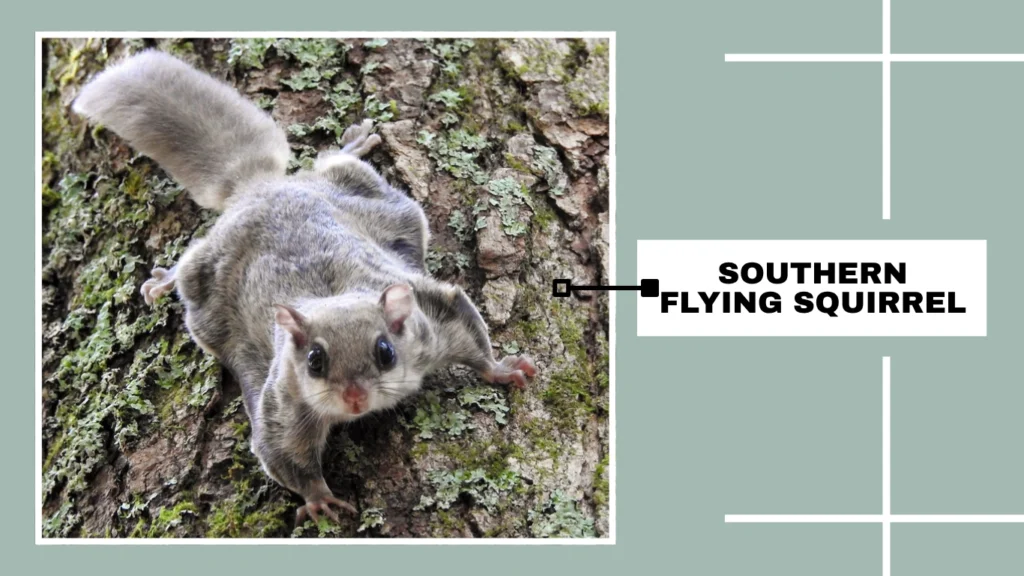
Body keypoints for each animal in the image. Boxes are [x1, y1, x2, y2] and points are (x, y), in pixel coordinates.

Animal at [72, 49, 538, 525]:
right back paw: (164, 281)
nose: (354, 398)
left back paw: (353, 143)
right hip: (204, 273)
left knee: (332, 163)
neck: (333, 297)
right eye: (314, 361)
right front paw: (319, 499)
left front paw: (501, 369)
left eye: (385, 352)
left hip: (366, 193)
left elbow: (468, 333)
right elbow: (283, 454)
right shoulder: (285, 403)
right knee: (190, 261)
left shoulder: (433, 317)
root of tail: (258, 186)